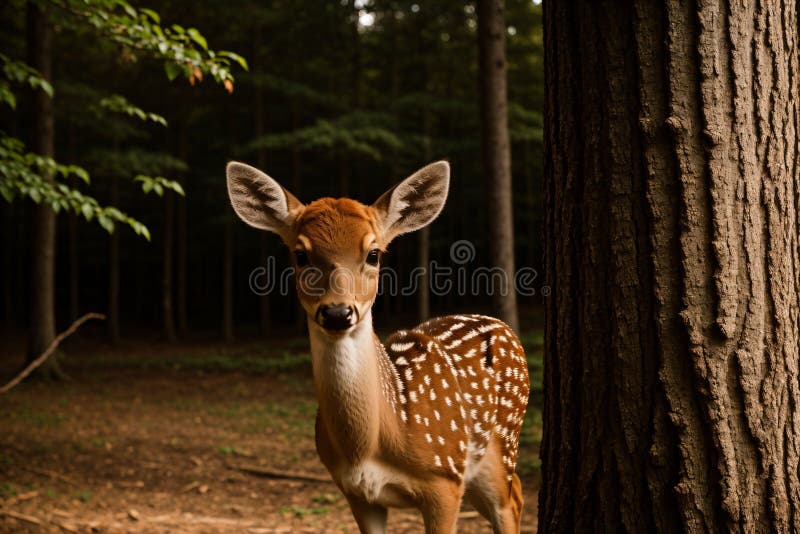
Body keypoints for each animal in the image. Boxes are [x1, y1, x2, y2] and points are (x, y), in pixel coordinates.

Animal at [226, 160, 530, 534]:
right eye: (300, 254)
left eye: (373, 254)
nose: (337, 312)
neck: (371, 444)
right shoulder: (356, 492)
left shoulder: (443, 480)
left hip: (502, 442)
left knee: (511, 501)